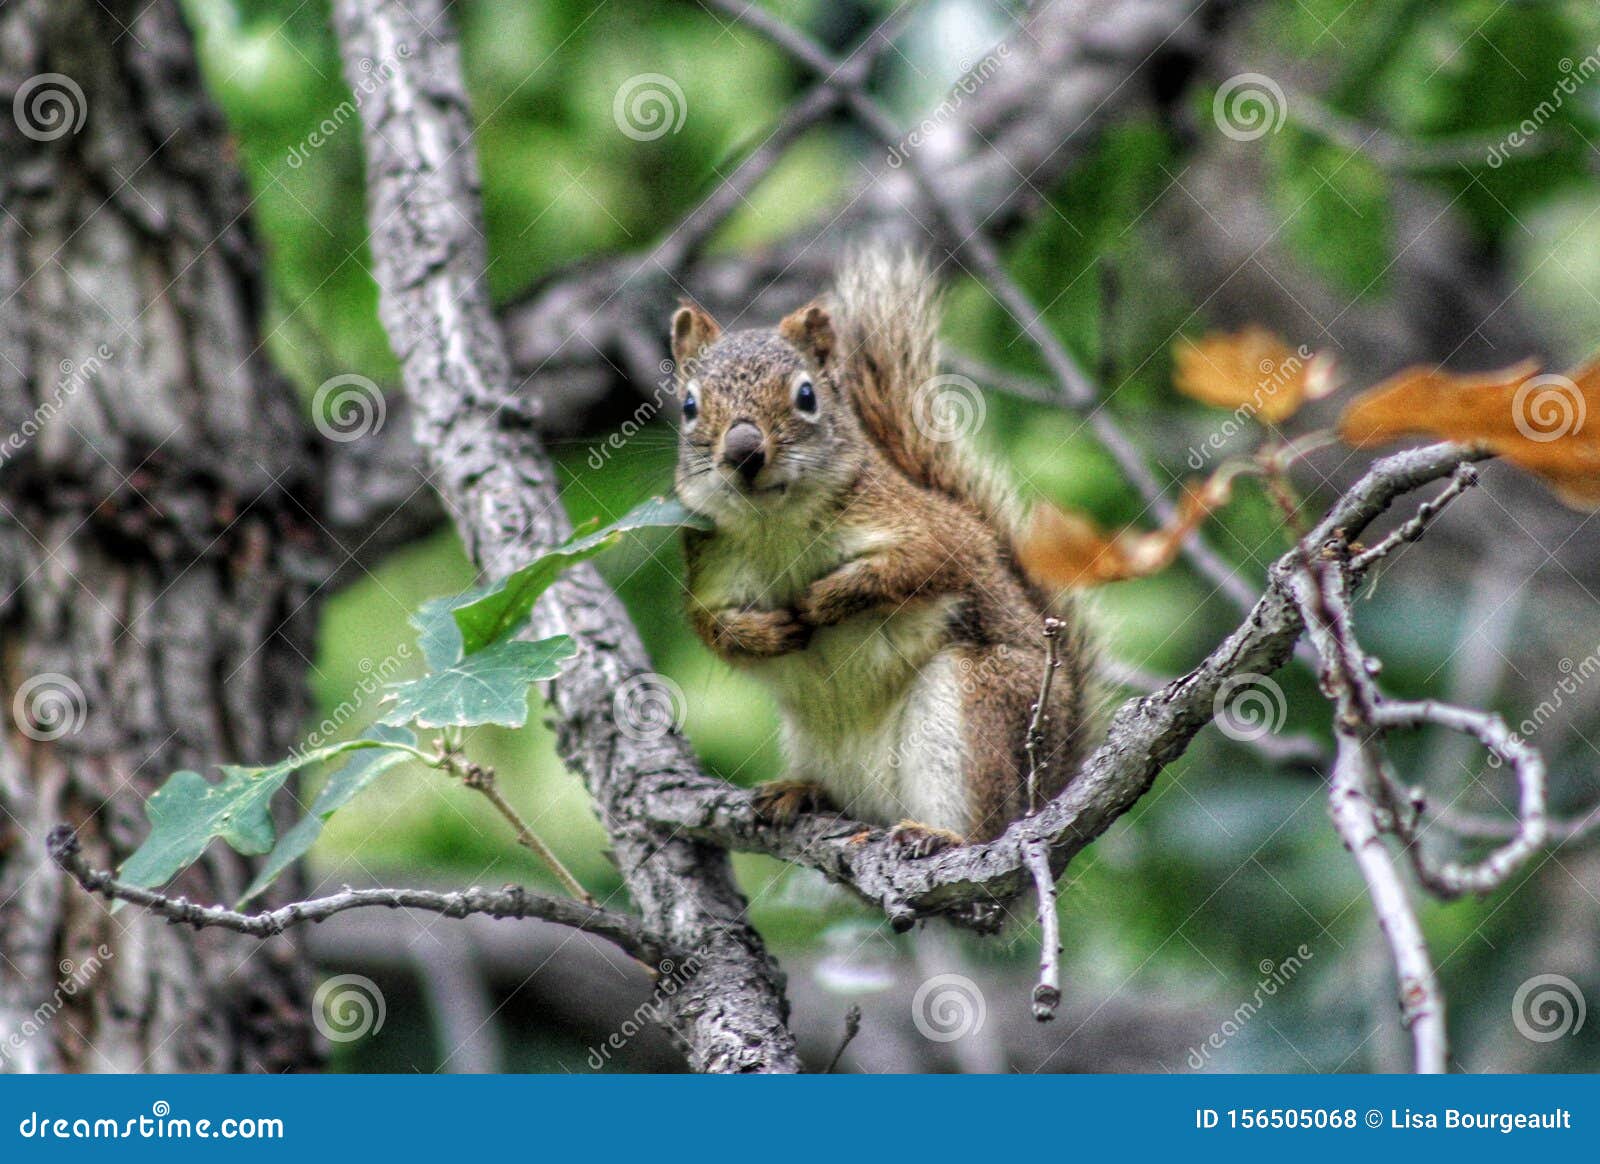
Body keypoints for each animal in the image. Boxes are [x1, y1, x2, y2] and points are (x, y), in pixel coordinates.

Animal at [671, 249, 1091, 856]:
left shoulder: (927, 530)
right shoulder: (707, 566)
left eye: (806, 396)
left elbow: (919, 565)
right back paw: (799, 790)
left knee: (988, 823)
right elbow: (709, 626)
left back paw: (942, 834)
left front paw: (825, 599)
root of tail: (1050, 780)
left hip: (976, 702)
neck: (775, 524)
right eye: (687, 405)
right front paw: (766, 632)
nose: (744, 451)